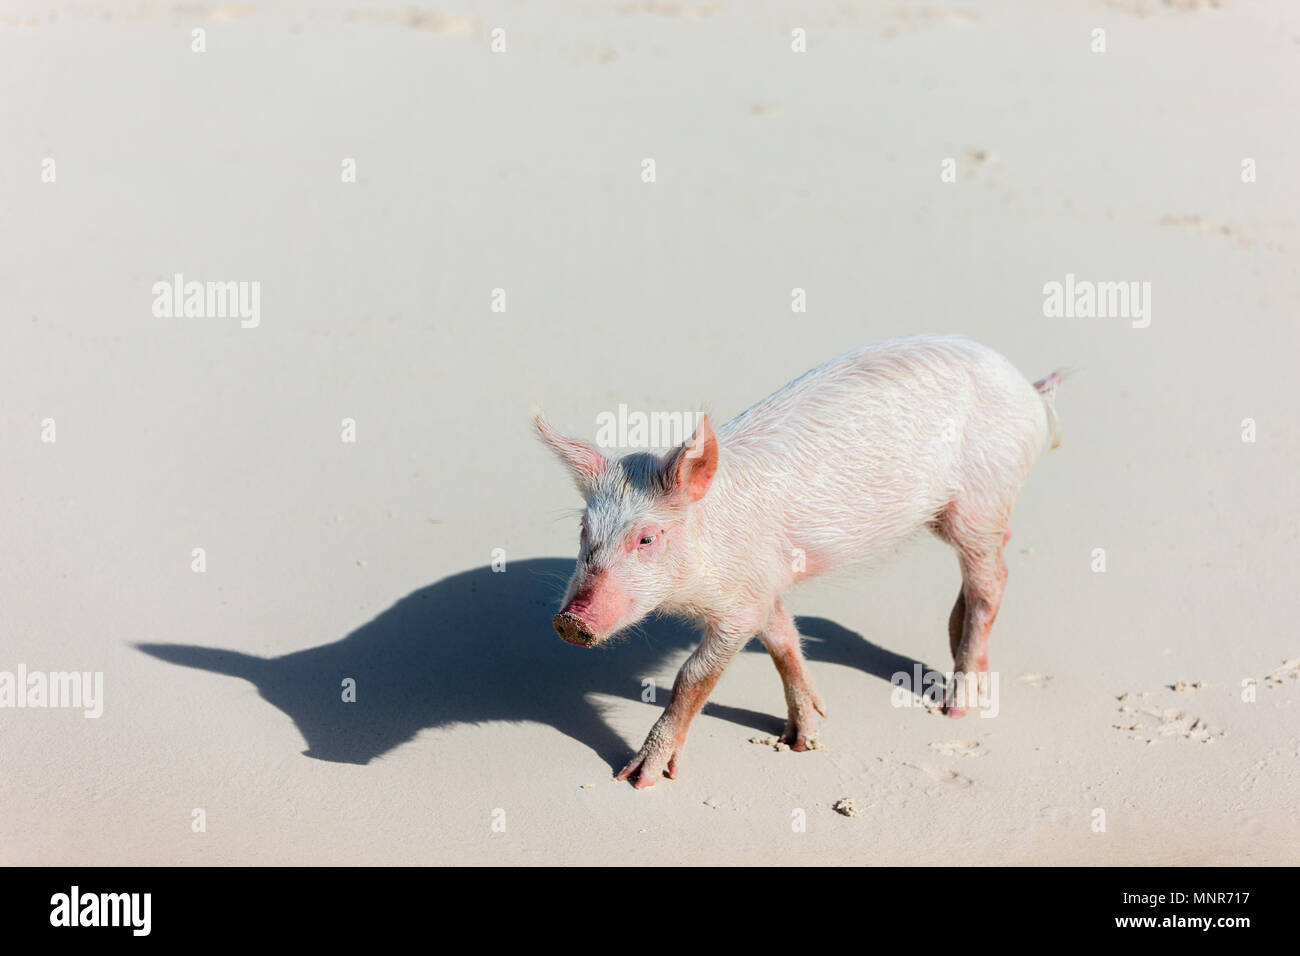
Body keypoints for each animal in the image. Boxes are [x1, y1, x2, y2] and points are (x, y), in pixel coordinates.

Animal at [535, 334, 1064, 789]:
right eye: (583, 530)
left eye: (646, 538)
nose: (569, 621)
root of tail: (1028, 389)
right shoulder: (763, 584)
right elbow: (784, 641)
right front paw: (801, 740)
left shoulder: (740, 604)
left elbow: (692, 676)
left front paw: (639, 779)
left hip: (981, 498)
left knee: (992, 580)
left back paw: (955, 707)